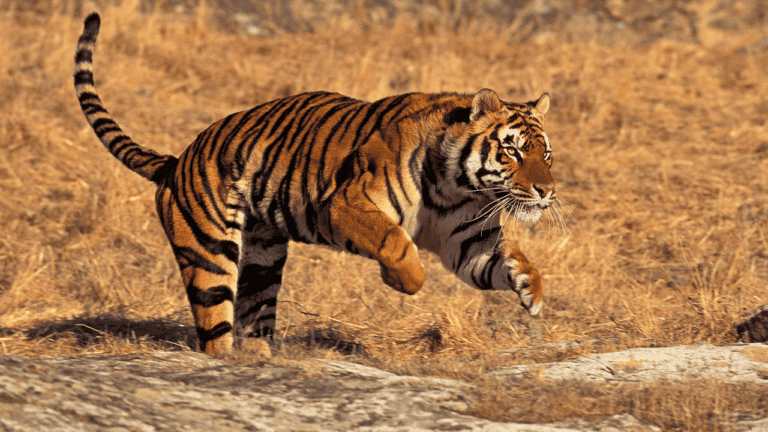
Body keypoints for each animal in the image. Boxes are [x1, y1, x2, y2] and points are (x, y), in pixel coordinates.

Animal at [73, 12, 556, 357]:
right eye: (512, 151)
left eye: (545, 155)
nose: (546, 191)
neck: (455, 187)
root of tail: (176, 161)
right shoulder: (346, 203)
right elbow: (397, 244)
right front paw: (402, 280)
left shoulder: (465, 242)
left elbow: (510, 260)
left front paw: (532, 292)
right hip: (209, 254)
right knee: (214, 328)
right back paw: (227, 363)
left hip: (263, 259)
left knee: (255, 314)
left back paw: (261, 360)